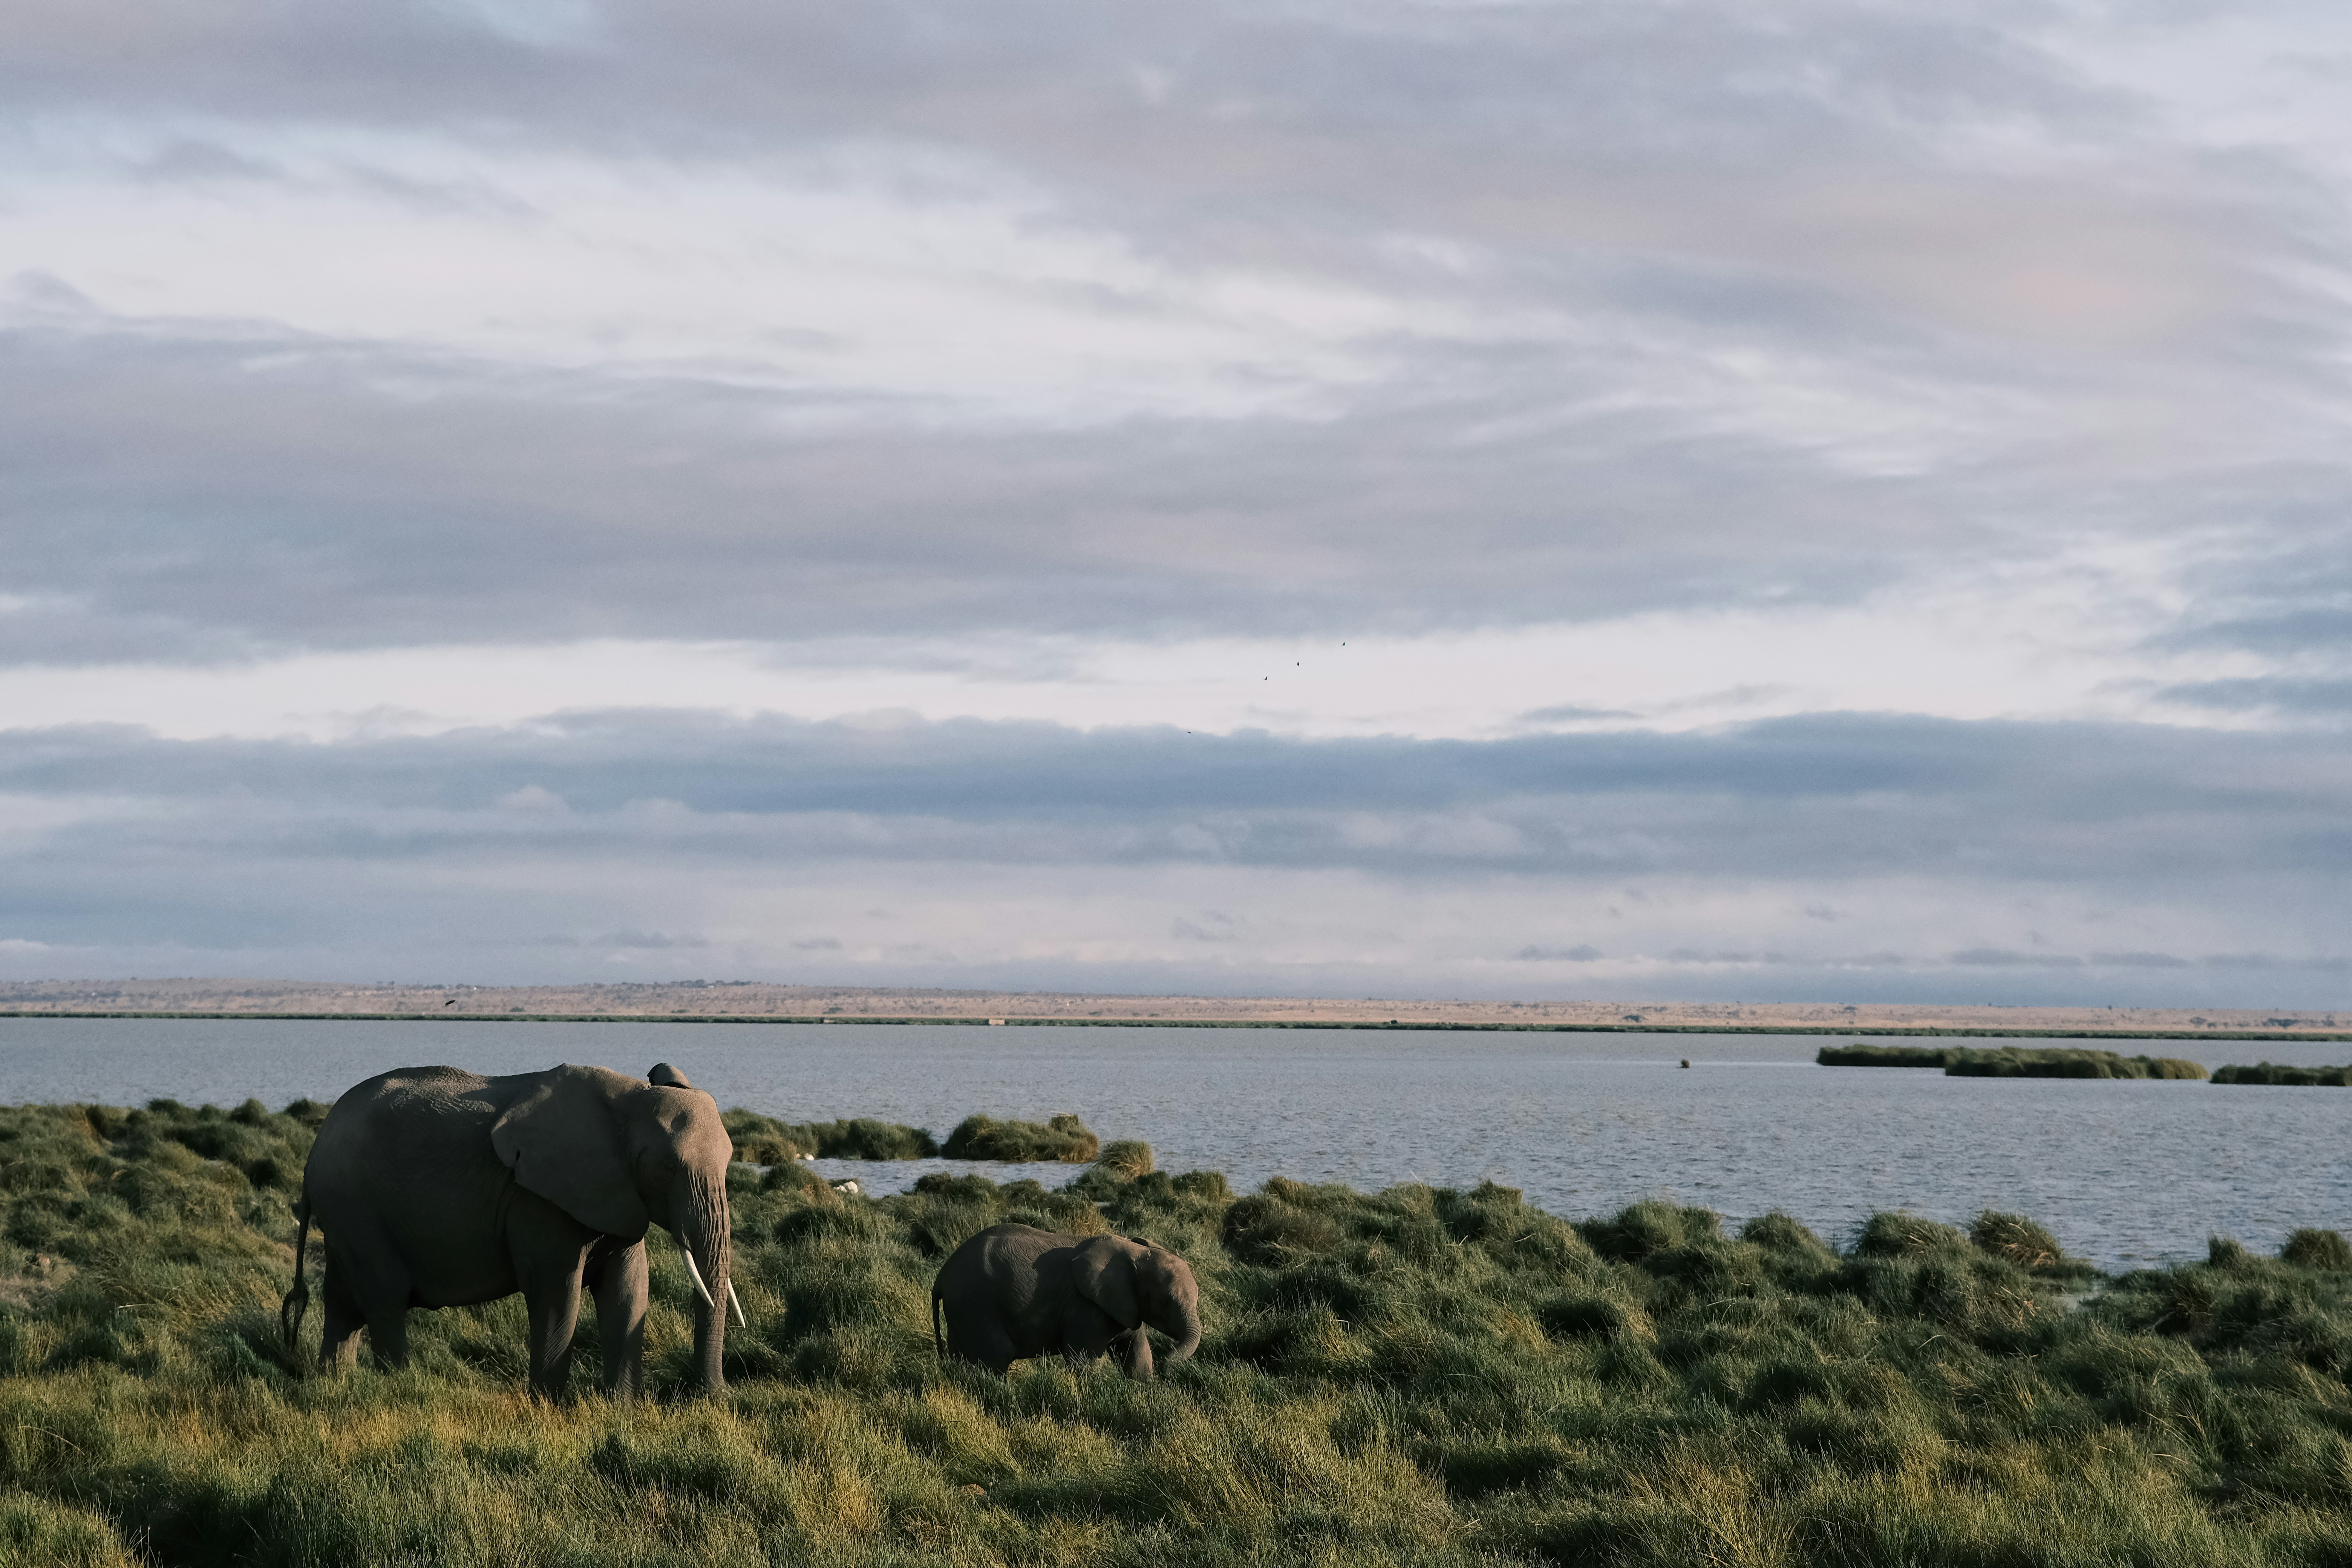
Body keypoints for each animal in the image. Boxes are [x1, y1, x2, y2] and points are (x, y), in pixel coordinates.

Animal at [280, 1060, 742, 1399]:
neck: (629, 1098)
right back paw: (403, 1389)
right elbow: (557, 1293)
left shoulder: (618, 1195)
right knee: (385, 1299)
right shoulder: (537, 1200)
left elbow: (629, 1290)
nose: (717, 1394)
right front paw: (551, 1407)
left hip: (345, 1217)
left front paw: (623, 1408)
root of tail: (313, 1152)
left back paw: (333, 1382)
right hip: (357, 1209)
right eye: (666, 1168)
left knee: (343, 1301)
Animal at [932, 1222, 1201, 1379]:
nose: (1168, 1368)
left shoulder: (1125, 1305)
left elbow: (1137, 1354)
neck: (1135, 1252)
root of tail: (942, 1276)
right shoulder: (1086, 1307)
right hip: (976, 1306)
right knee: (993, 1362)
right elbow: (1084, 1361)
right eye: (1165, 1302)